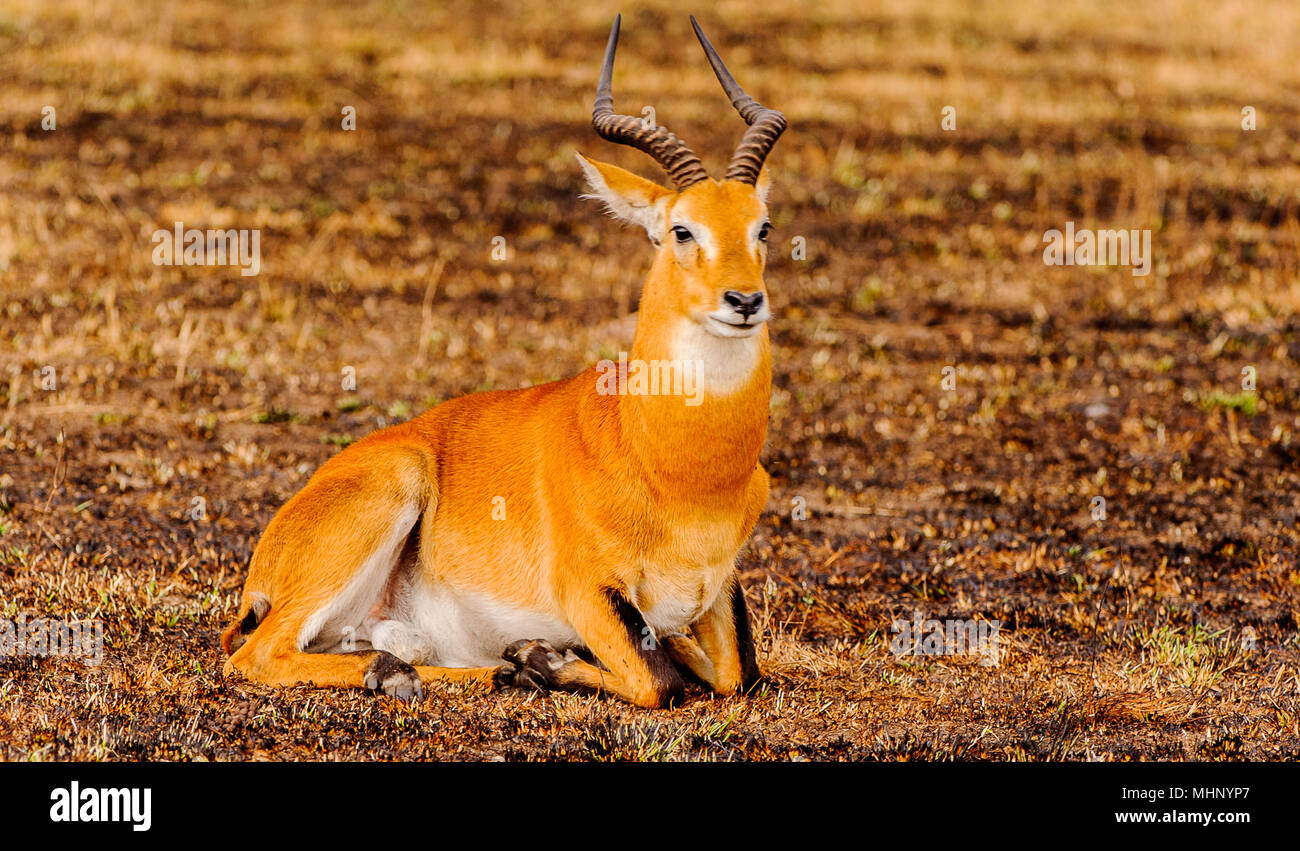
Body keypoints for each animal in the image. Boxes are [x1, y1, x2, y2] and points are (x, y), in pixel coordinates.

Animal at [221, 14, 787, 708]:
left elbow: (738, 674)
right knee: (256, 655)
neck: (674, 470)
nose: (745, 301)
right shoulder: (592, 593)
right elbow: (663, 683)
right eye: (682, 230)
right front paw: (541, 657)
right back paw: (466, 669)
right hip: (389, 495)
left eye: (762, 227)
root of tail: (264, 566)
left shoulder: (718, 588)